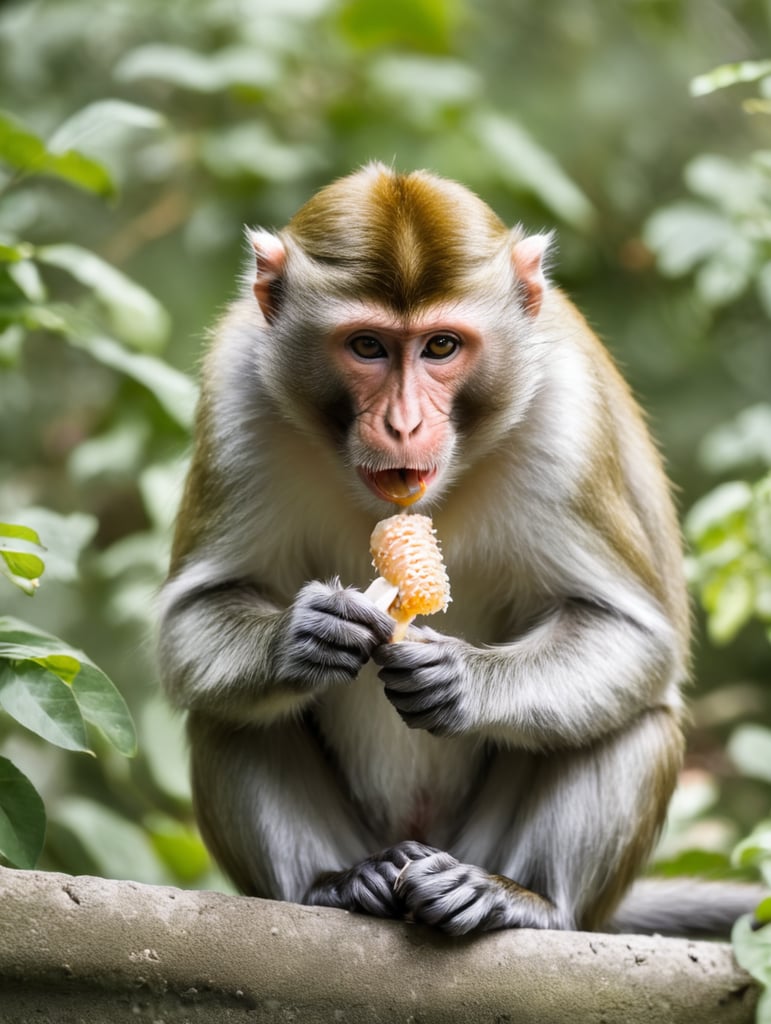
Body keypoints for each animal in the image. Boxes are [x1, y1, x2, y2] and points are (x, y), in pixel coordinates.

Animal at [158, 163, 764, 936]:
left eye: (441, 347)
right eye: (368, 346)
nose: (402, 423)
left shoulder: (567, 412)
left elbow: (632, 634)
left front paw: (461, 681)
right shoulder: (236, 391)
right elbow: (193, 618)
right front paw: (304, 636)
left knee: (635, 719)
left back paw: (521, 899)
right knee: (227, 712)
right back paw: (337, 884)